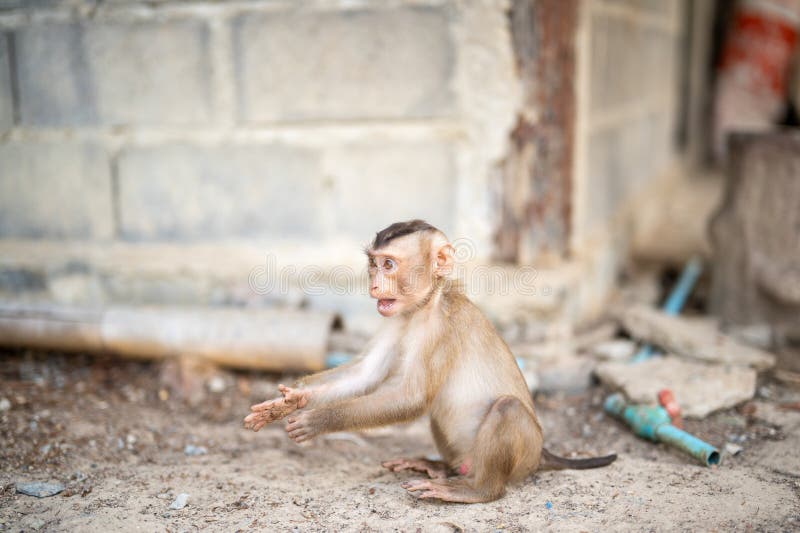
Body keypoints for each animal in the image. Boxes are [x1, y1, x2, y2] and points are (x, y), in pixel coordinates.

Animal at [243, 219, 616, 503]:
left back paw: (476, 491)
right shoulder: (394, 319)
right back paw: (440, 468)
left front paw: (319, 419)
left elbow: (412, 397)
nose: (375, 285)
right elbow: (365, 373)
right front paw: (288, 401)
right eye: (373, 264)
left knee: (507, 409)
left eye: (389, 265)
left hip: (525, 456)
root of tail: (542, 453)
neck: (423, 307)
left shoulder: (441, 329)